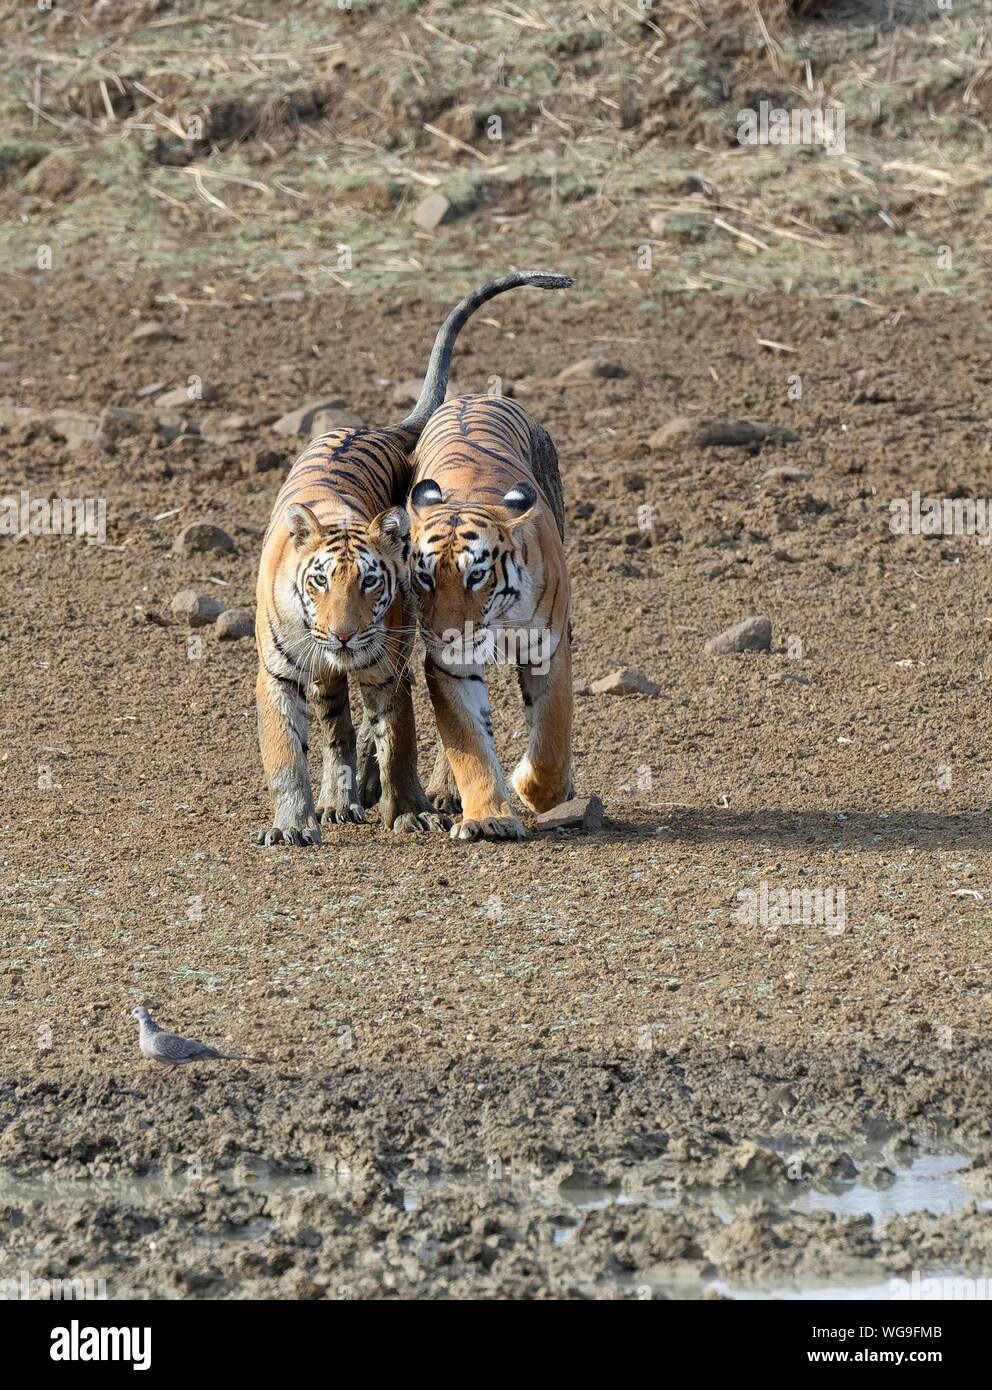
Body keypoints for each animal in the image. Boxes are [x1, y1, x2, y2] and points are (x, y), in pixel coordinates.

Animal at [407, 388, 574, 843]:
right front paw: (487, 818)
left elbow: (551, 737)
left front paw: (540, 792)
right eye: (424, 577)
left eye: (476, 575)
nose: (446, 635)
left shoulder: (547, 649)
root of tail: (479, 395)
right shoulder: (450, 666)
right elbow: (468, 742)